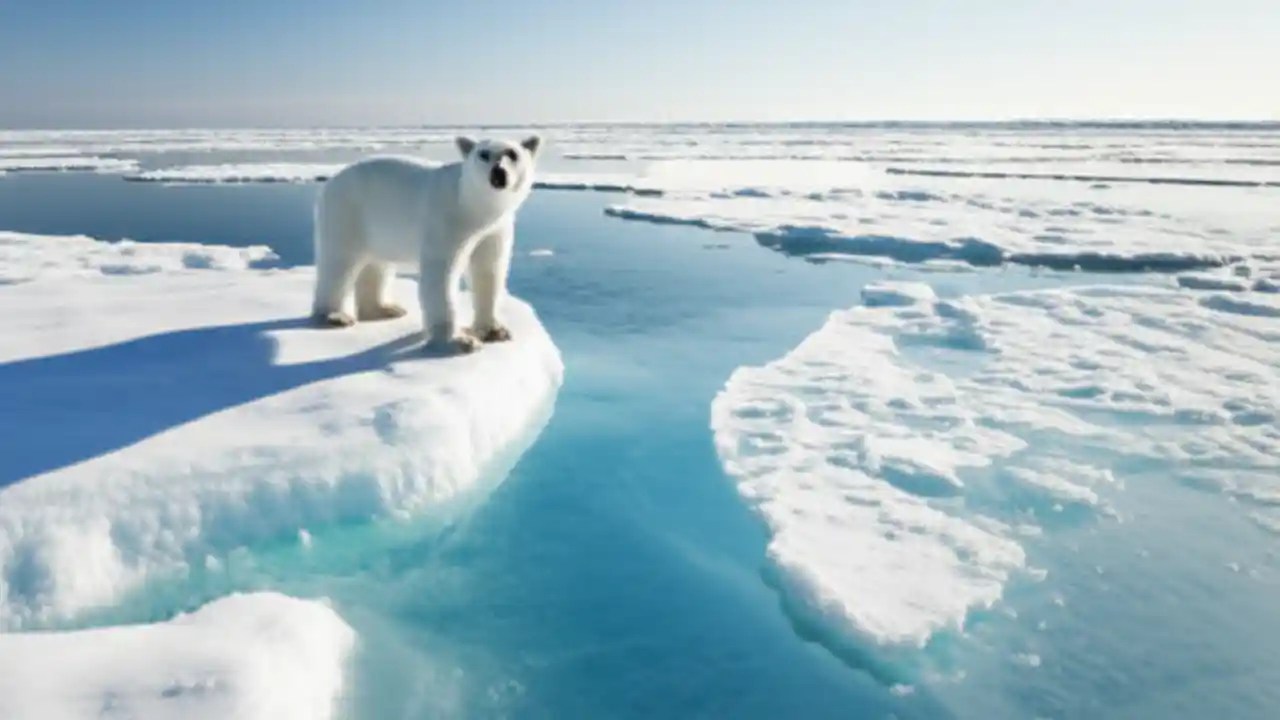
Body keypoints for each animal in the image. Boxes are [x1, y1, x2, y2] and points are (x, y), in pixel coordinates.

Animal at [311, 134, 542, 354]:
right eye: (483, 154)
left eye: (512, 153)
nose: (498, 173)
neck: (472, 206)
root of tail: (331, 180)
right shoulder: (448, 221)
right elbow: (441, 274)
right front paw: (459, 341)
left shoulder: (494, 229)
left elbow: (488, 271)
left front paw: (495, 331)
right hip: (347, 211)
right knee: (339, 262)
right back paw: (335, 316)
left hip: (375, 227)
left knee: (376, 264)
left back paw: (384, 309)